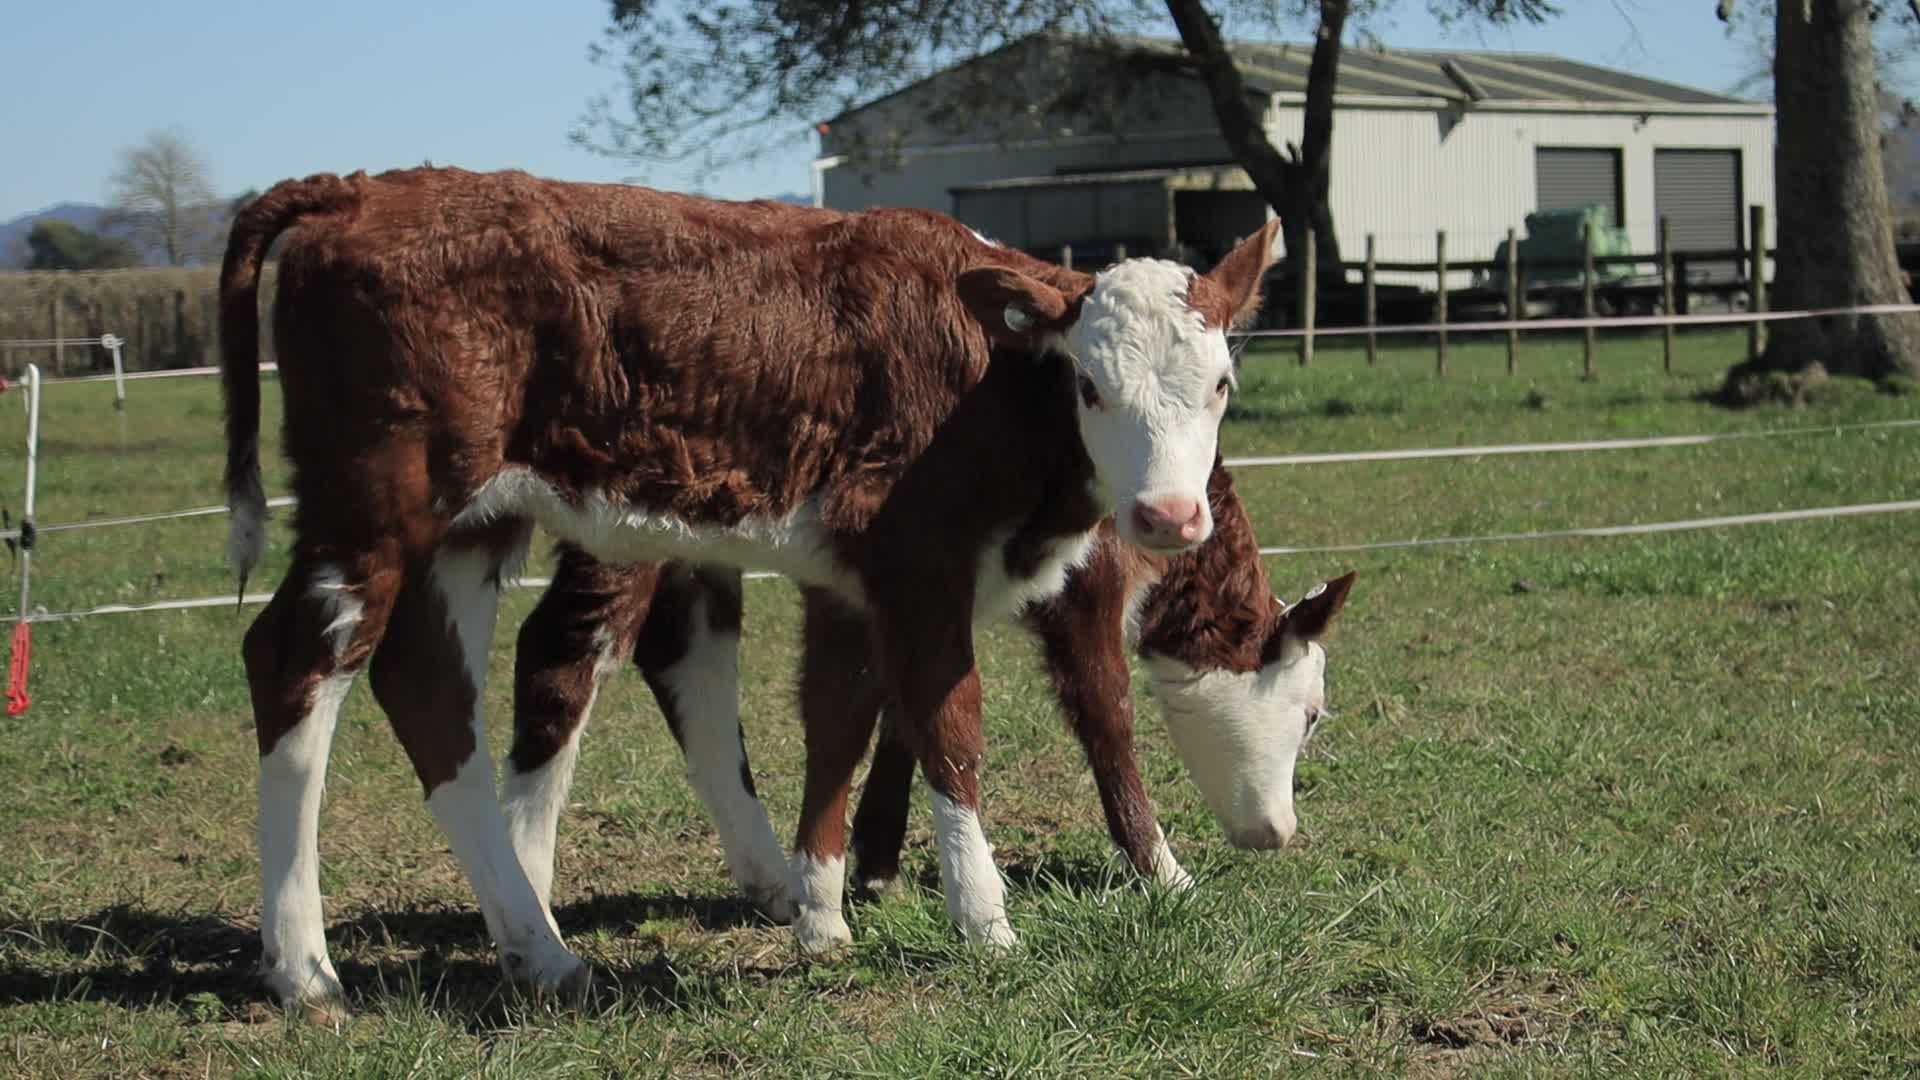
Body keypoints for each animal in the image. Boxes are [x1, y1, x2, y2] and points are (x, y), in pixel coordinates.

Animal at [507, 465, 1355, 952]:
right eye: (1312, 713)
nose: (1281, 832)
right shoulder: (1084, 584)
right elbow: (1106, 716)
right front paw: (1163, 869)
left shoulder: (914, 592)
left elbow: (904, 713)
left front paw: (876, 863)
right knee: (559, 652)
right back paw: (530, 905)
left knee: (684, 656)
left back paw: (773, 879)